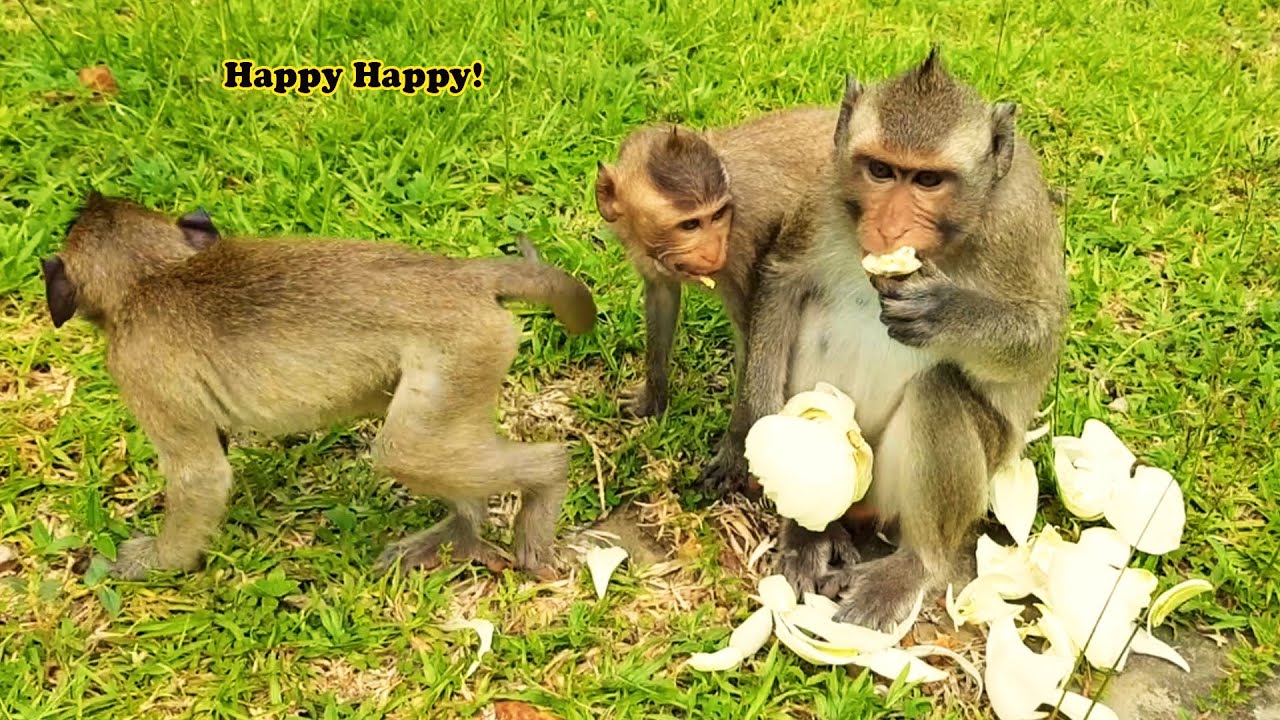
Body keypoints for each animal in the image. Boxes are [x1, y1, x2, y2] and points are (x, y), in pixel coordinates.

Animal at [41, 193, 597, 581]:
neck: (152, 274)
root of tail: (463, 276)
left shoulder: (137, 365)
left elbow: (202, 476)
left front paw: (156, 562)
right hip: (474, 358)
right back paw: (464, 525)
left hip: (462, 347)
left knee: (406, 451)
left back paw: (548, 475)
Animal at [594, 108, 838, 494]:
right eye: (690, 224)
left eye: (718, 215)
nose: (712, 252)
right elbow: (662, 299)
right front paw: (653, 398)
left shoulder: (743, 242)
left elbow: (753, 339)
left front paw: (735, 454)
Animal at [738, 48, 1067, 630]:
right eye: (880, 171)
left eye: (929, 180)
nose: (890, 228)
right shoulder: (827, 189)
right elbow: (783, 281)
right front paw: (763, 429)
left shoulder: (1018, 220)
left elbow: (1039, 340)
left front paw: (947, 312)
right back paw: (810, 531)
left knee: (939, 392)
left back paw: (916, 563)